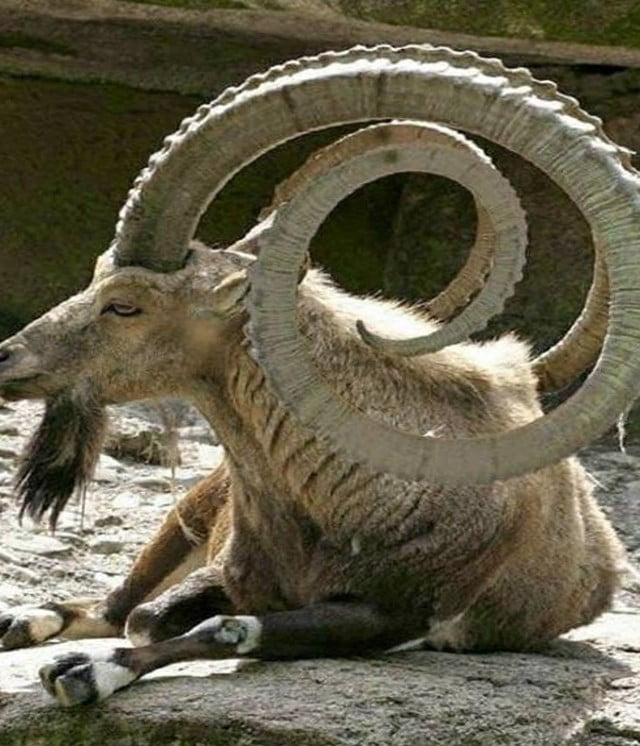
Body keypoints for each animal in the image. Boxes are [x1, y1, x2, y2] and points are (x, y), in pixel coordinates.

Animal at [0, 45, 637, 707]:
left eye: (124, 305)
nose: (7, 357)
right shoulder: (229, 568)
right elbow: (148, 615)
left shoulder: (398, 613)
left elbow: (223, 628)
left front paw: (85, 672)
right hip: (191, 511)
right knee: (114, 601)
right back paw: (17, 621)